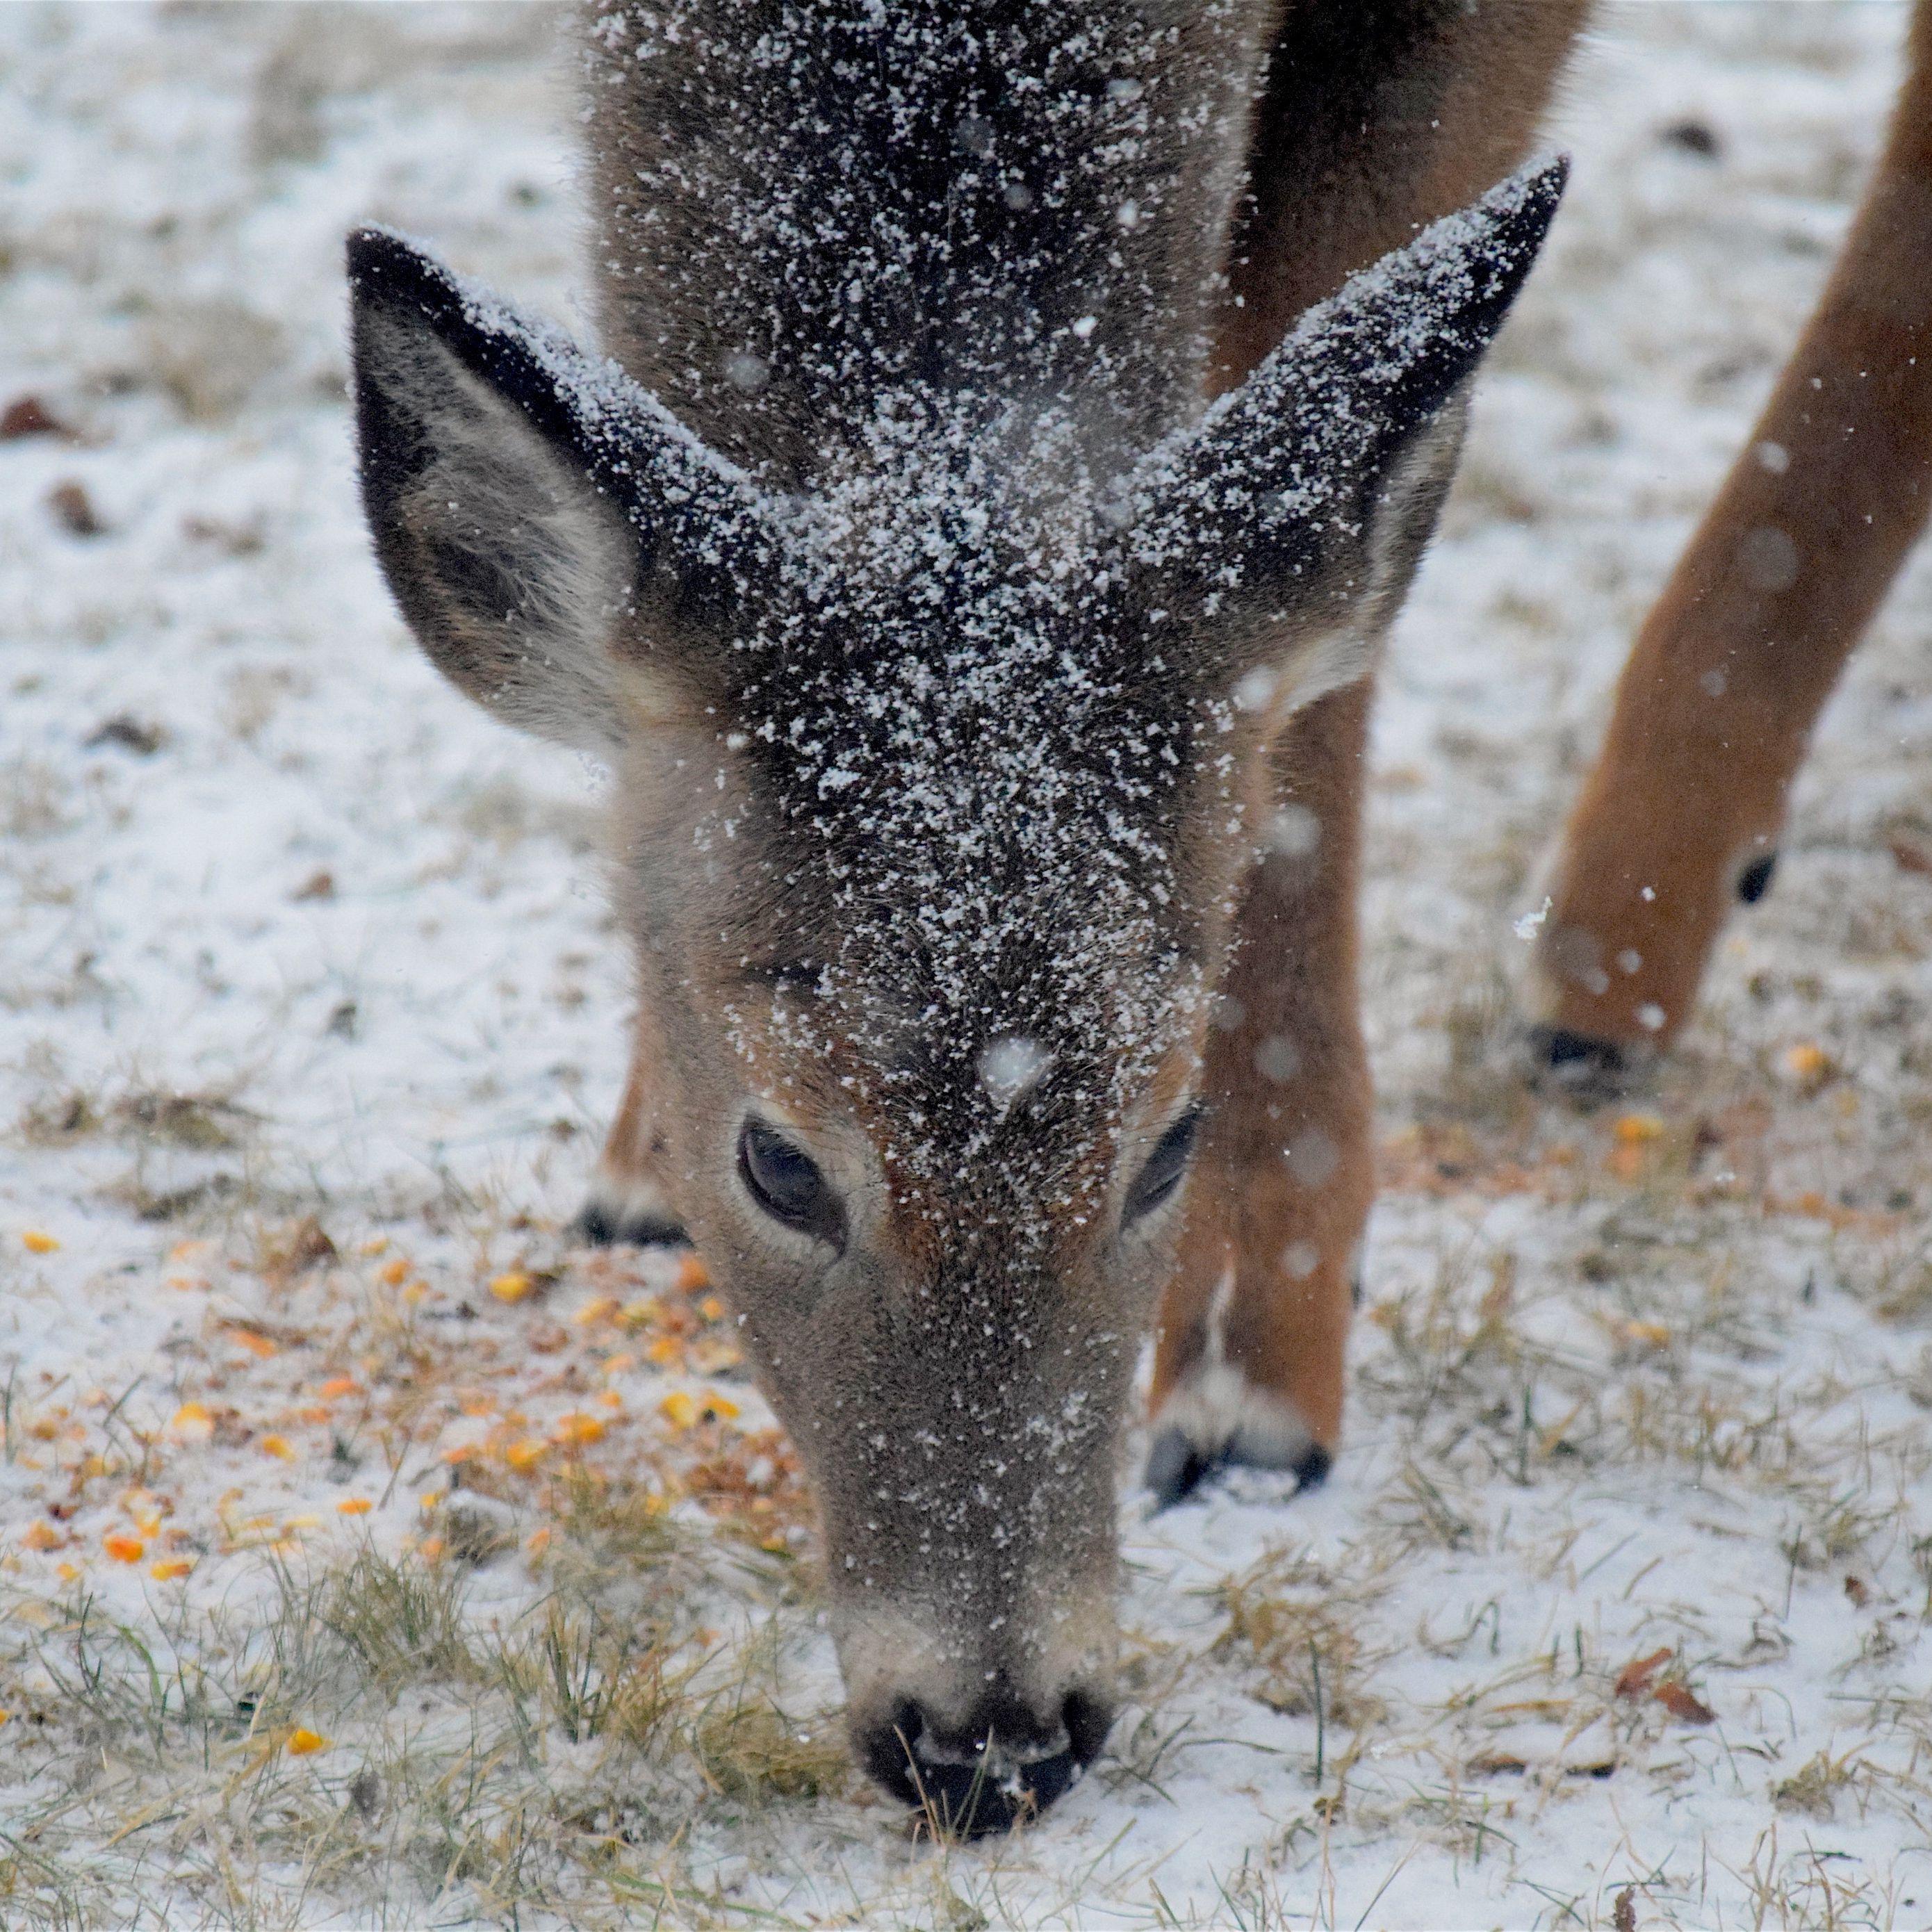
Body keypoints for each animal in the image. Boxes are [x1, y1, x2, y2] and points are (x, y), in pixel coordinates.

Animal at [346, 0, 1932, 1833]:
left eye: (1169, 1139)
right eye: (778, 1161)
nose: (995, 1739)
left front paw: (1257, 1355)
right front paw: (630, 1144)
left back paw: (1613, 948)